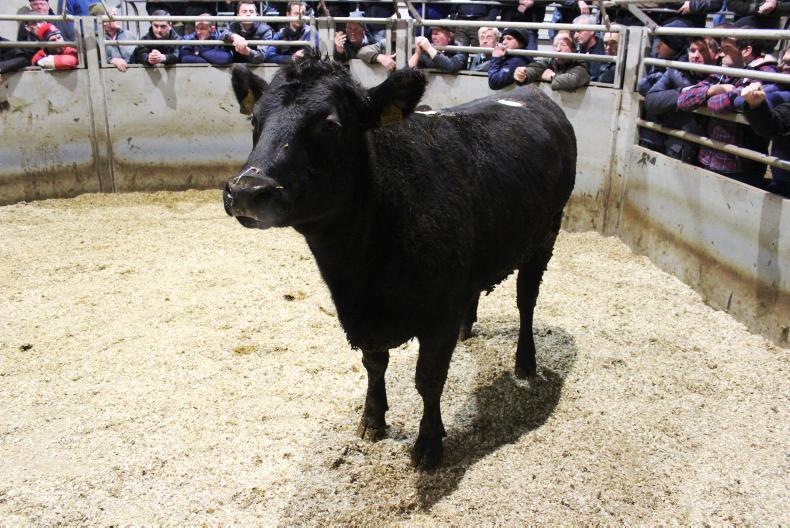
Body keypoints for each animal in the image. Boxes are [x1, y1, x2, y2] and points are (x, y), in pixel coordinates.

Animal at [223, 56, 576, 469]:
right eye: (254, 119)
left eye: (330, 124)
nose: (247, 190)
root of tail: (532, 93)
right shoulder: (363, 317)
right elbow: (375, 366)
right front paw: (372, 419)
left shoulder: (438, 315)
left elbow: (429, 380)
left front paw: (428, 444)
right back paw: (468, 330)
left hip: (545, 234)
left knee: (526, 301)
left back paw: (525, 363)